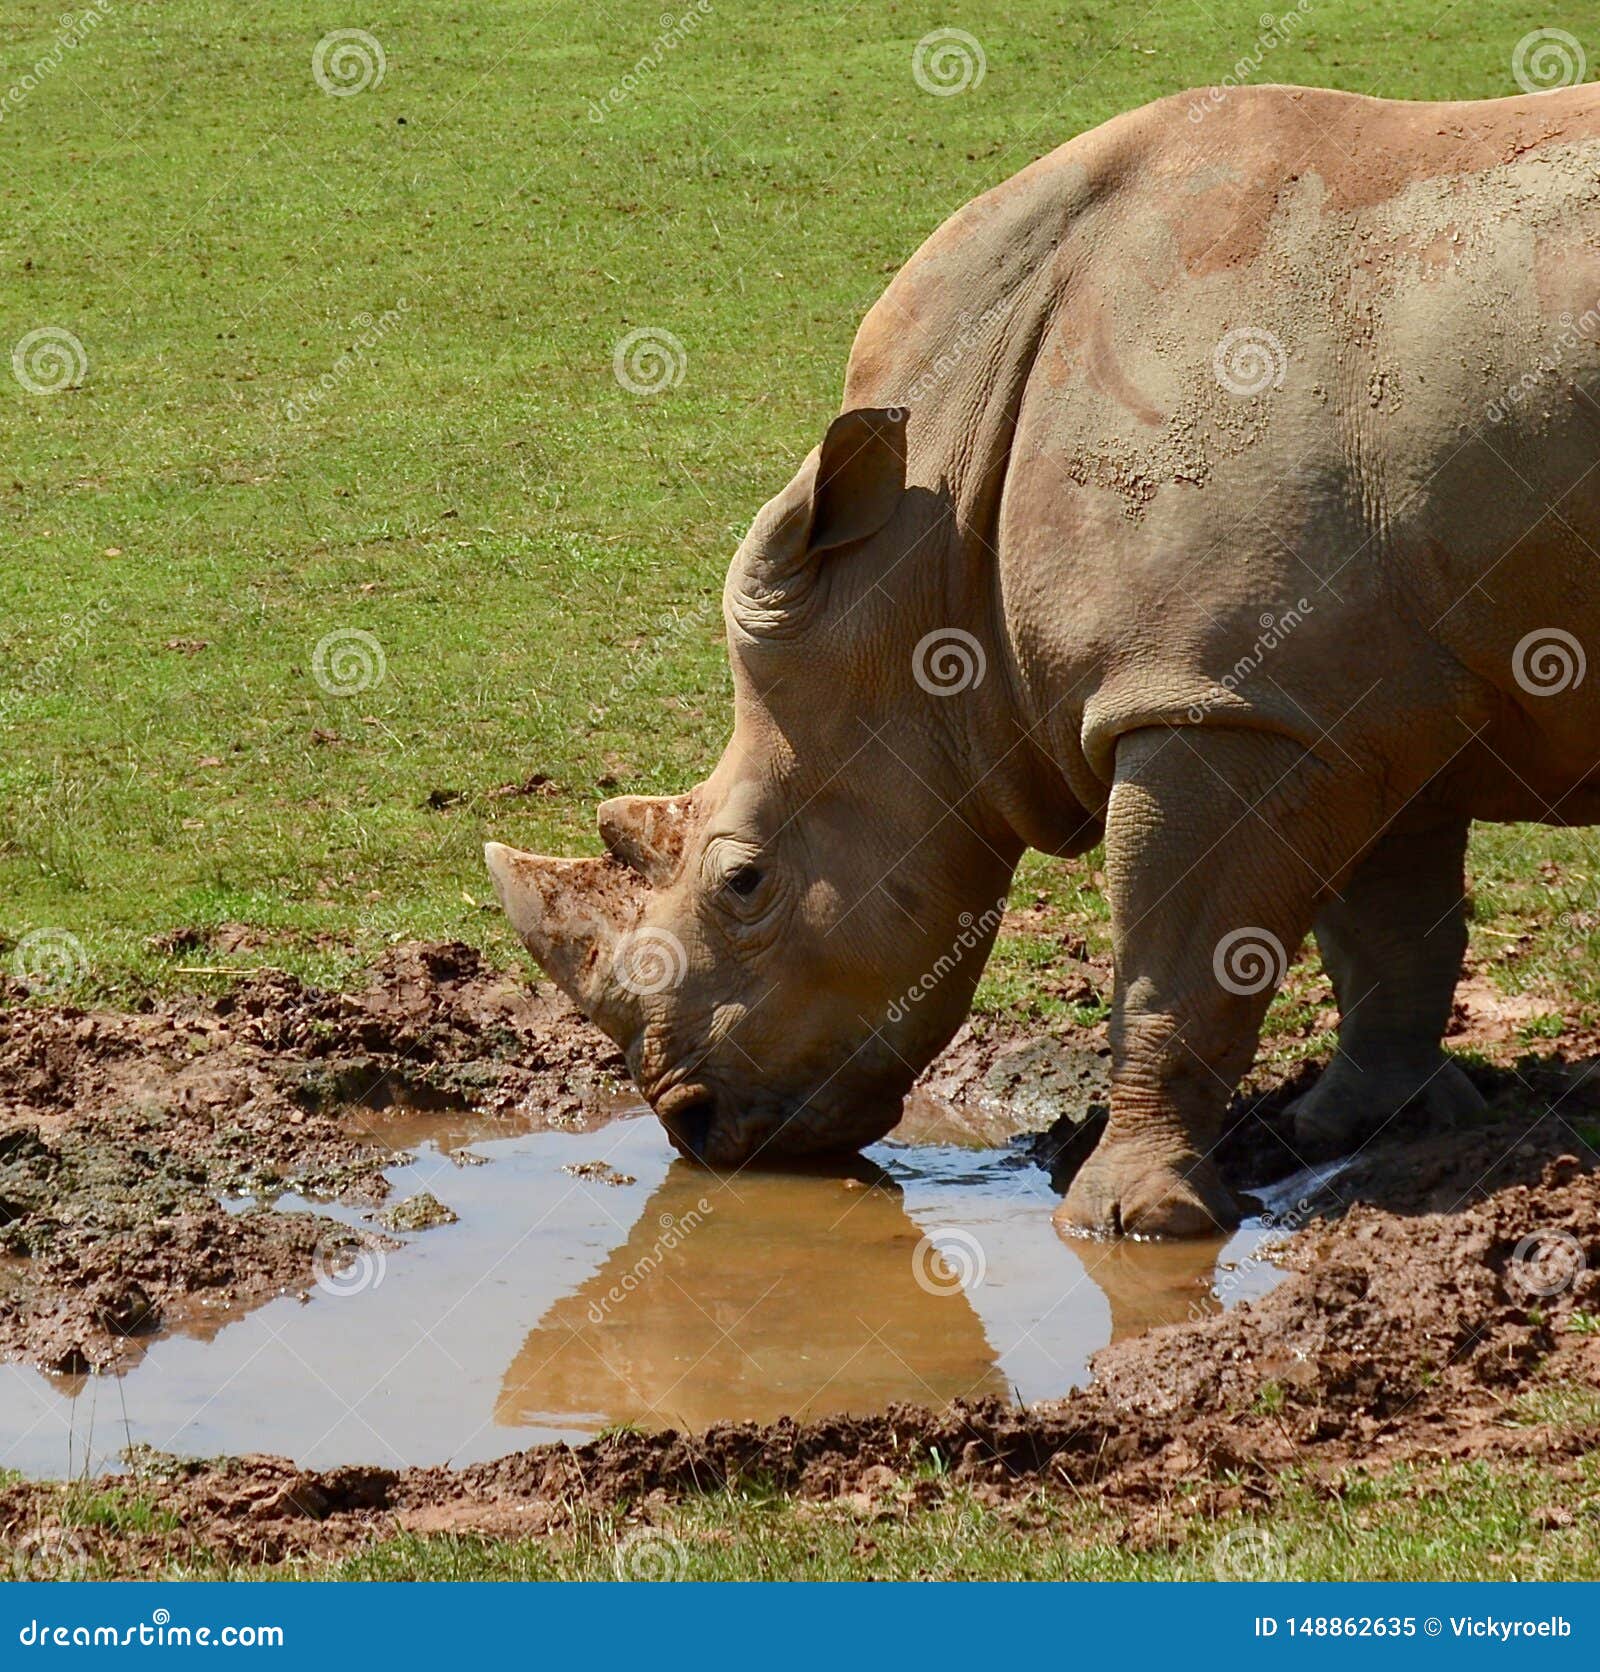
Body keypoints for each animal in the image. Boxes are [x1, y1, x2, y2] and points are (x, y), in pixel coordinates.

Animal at [487, 82, 1600, 1236]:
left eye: (743, 882)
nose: (693, 1125)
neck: (924, 567)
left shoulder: (1207, 699)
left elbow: (1177, 963)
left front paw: (1132, 1218)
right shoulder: (1333, 699)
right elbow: (1388, 937)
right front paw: (1361, 1132)